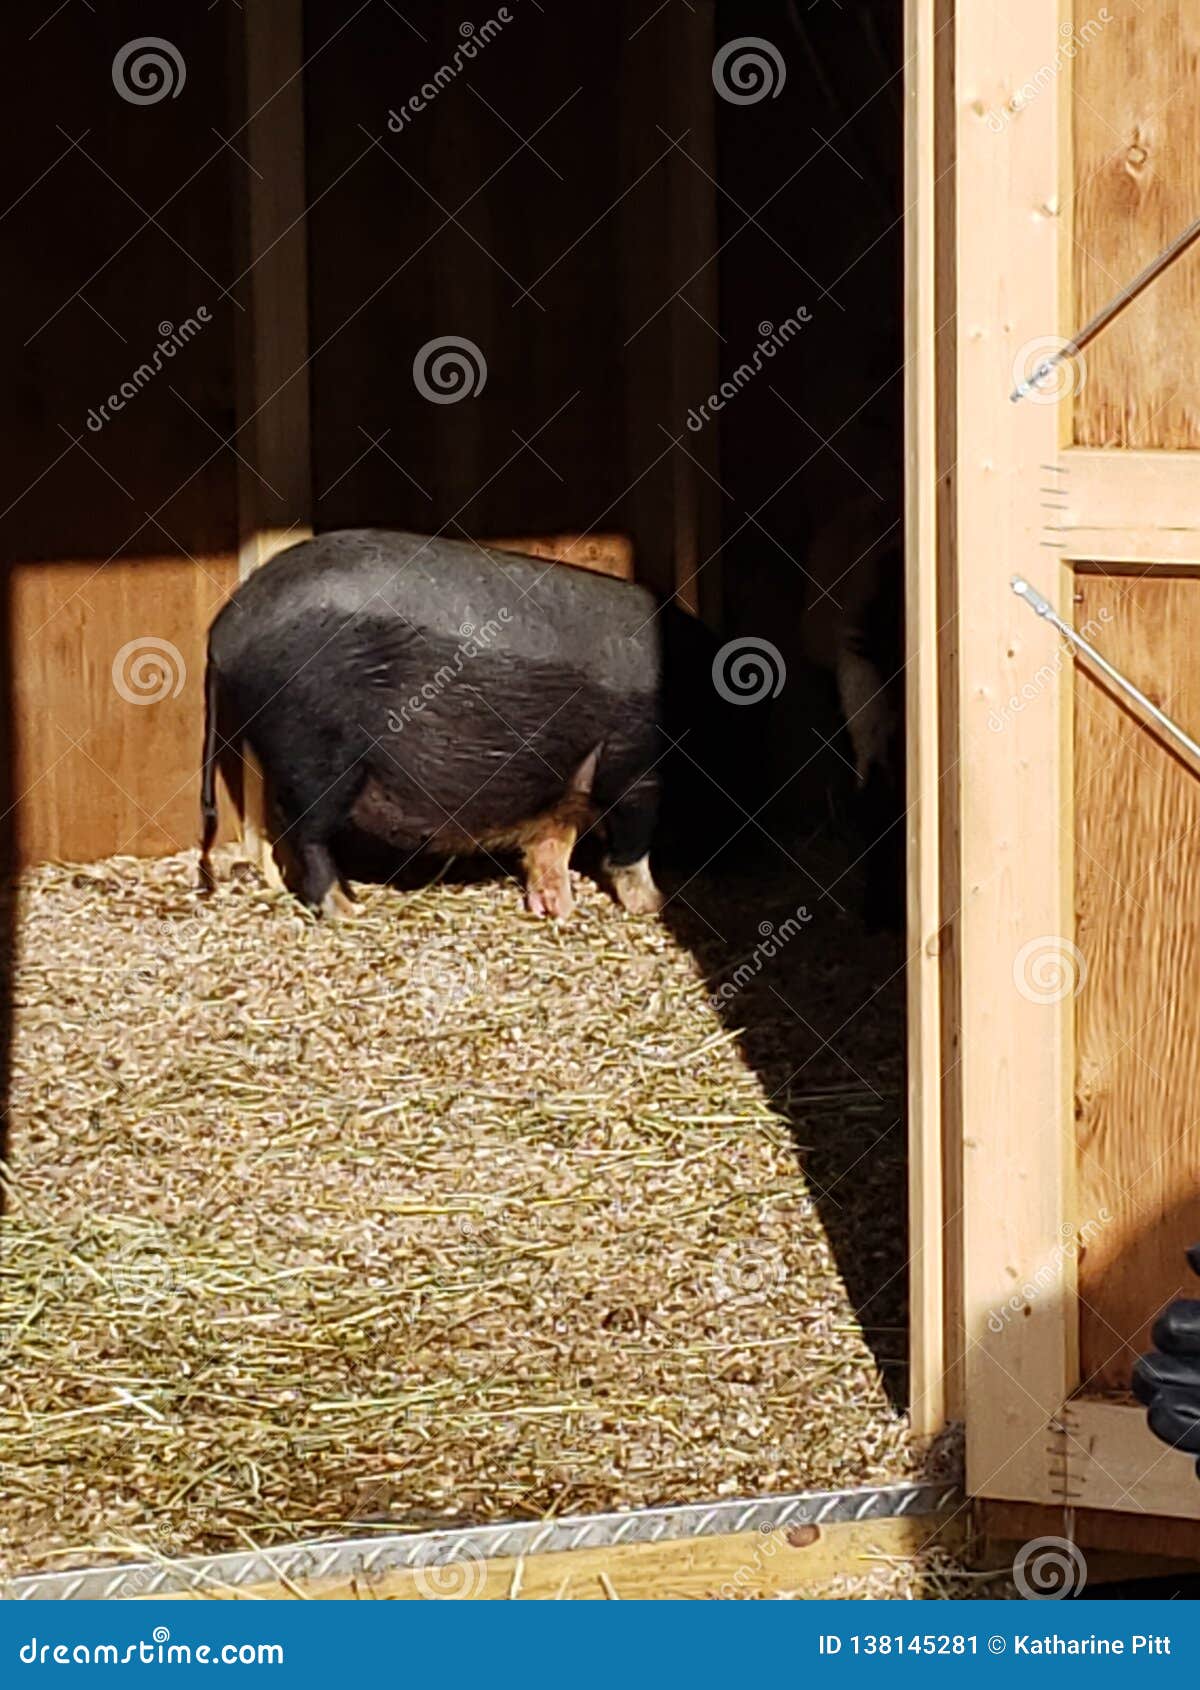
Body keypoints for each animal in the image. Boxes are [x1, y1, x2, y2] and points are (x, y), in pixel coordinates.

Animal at [200, 530, 717, 921]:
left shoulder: (570, 777)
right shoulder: (635, 760)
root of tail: (221, 633)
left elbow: (554, 842)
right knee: (306, 832)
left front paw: (559, 911)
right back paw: (350, 910)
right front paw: (655, 906)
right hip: (312, 750)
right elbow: (632, 839)